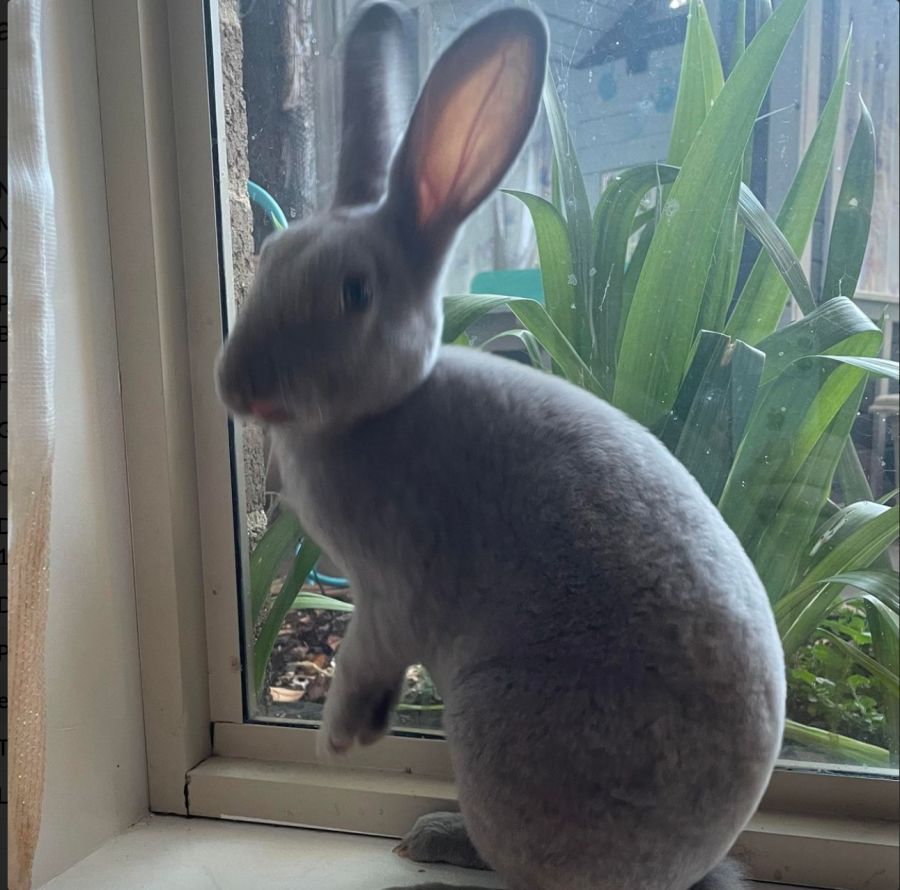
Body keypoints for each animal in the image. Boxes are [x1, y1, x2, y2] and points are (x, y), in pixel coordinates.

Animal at [216, 3, 786, 889]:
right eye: (269, 259)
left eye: (355, 292)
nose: (237, 387)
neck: (381, 408)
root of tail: (684, 870)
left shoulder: (393, 591)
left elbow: (362, 659)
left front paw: (337, 739)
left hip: (495, 733)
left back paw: (435, 839)